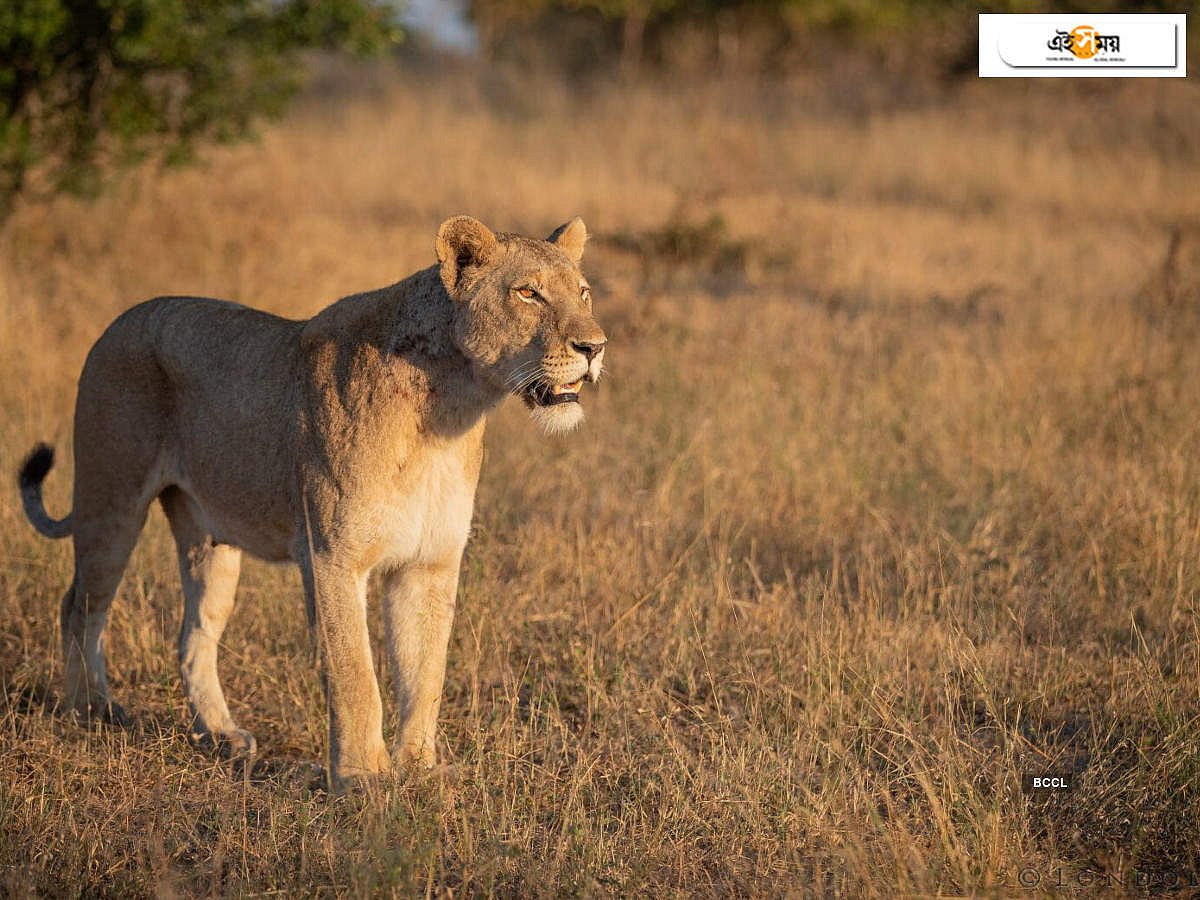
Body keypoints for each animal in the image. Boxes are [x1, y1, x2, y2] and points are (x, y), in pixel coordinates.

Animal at [18, 215, 606, 789]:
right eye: (528, 293)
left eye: (583, 293)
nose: (595, 347)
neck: (450, 409)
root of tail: (119, 321)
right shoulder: (332, 557)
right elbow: (355, 674)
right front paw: (364, 780)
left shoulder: (429, 563)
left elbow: (425, 673)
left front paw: (420, 770)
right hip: (110, 498)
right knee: (80, 606)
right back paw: (91, 711)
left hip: (208, 536)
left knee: (192, 634)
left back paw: (219, 734)